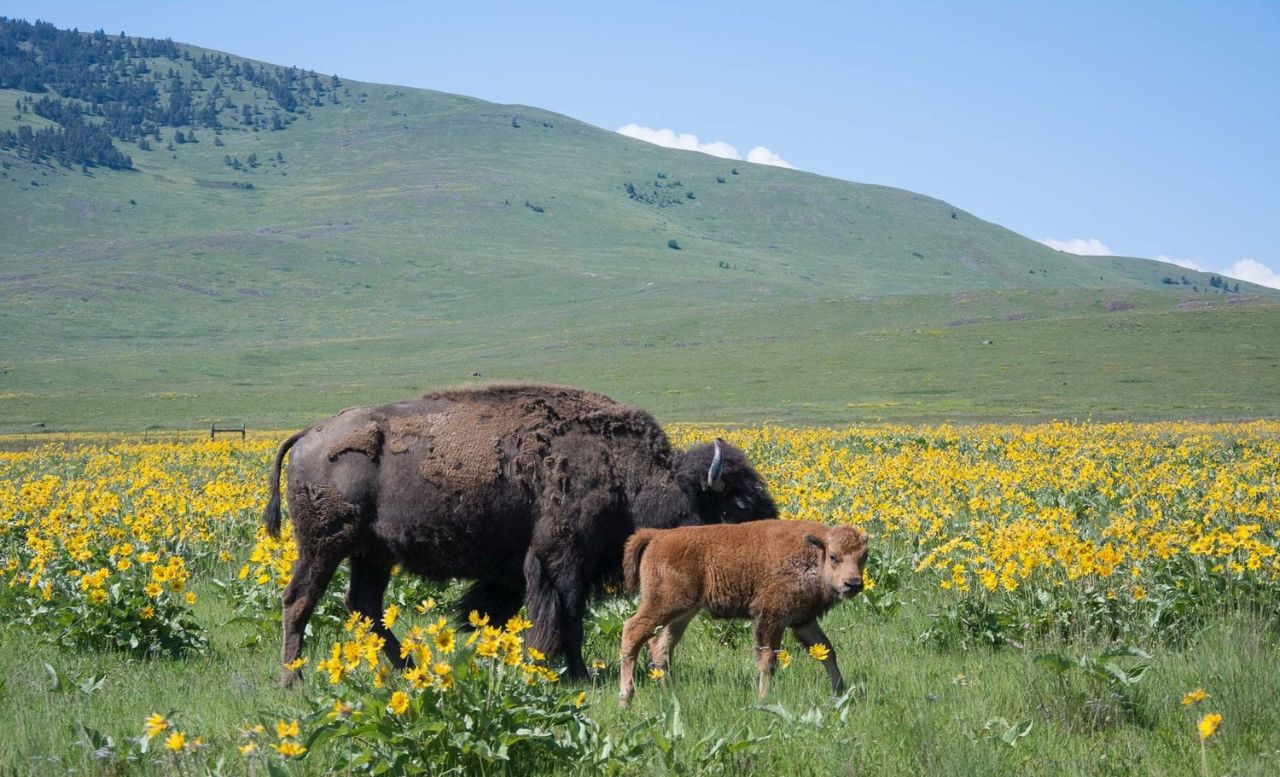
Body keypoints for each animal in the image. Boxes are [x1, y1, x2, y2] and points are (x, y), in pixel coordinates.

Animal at [263, 383, 777, 686]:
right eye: (739, 505)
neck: (626, 473)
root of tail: (310, 433)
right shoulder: (561, 562)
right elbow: (566, 619)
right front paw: (573, 674)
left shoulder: (535, 570)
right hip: (324, 546)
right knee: (299, 601)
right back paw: (293, 680)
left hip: (372, 553)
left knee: (364, 606)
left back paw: (411, 670)